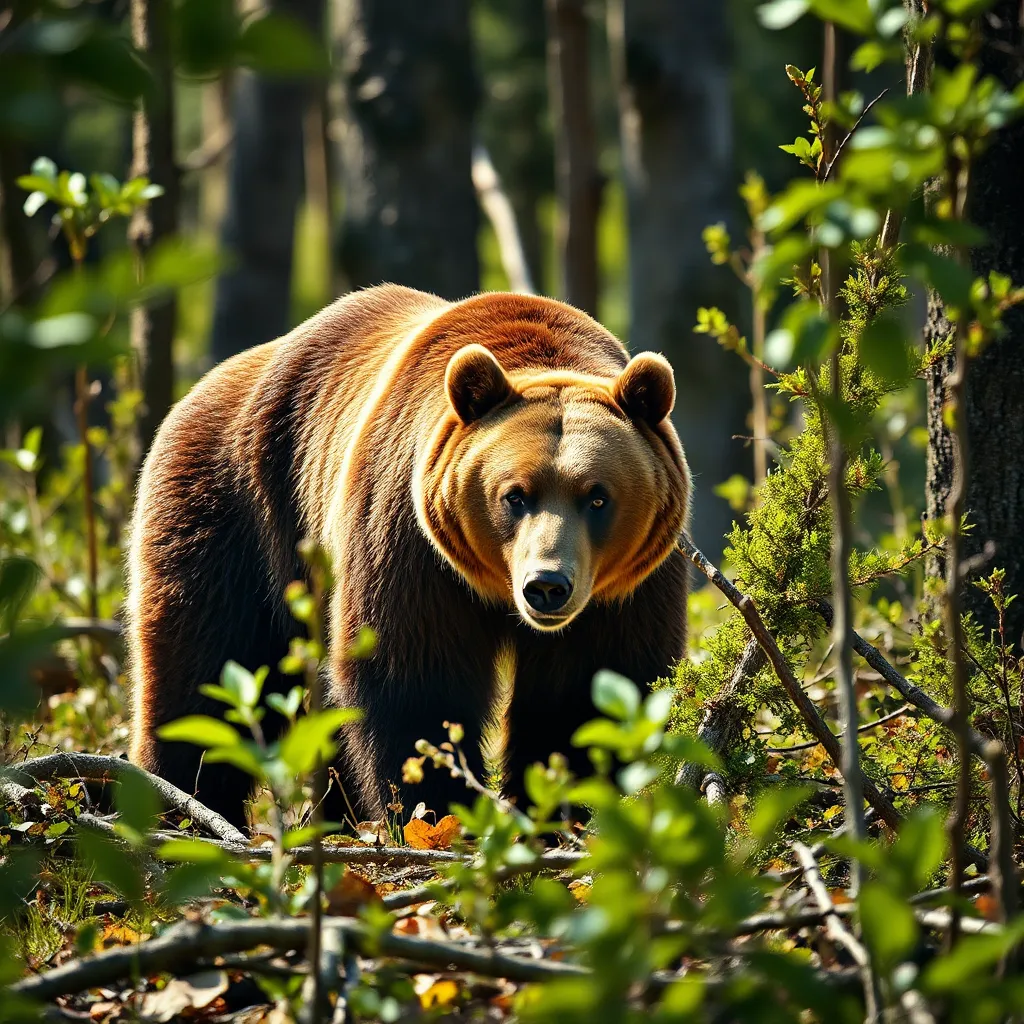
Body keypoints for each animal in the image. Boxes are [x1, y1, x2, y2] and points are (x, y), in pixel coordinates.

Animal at [127, 285, 690, 829]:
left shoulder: (626, 589)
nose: (547, 585)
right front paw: (437, 815)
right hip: (235, 511)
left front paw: (558, 815)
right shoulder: (410, 542)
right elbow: (413, 682)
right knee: (207, 672)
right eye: (515, 495)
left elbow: (586, 698)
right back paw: (181, 807)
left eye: (597, 497)